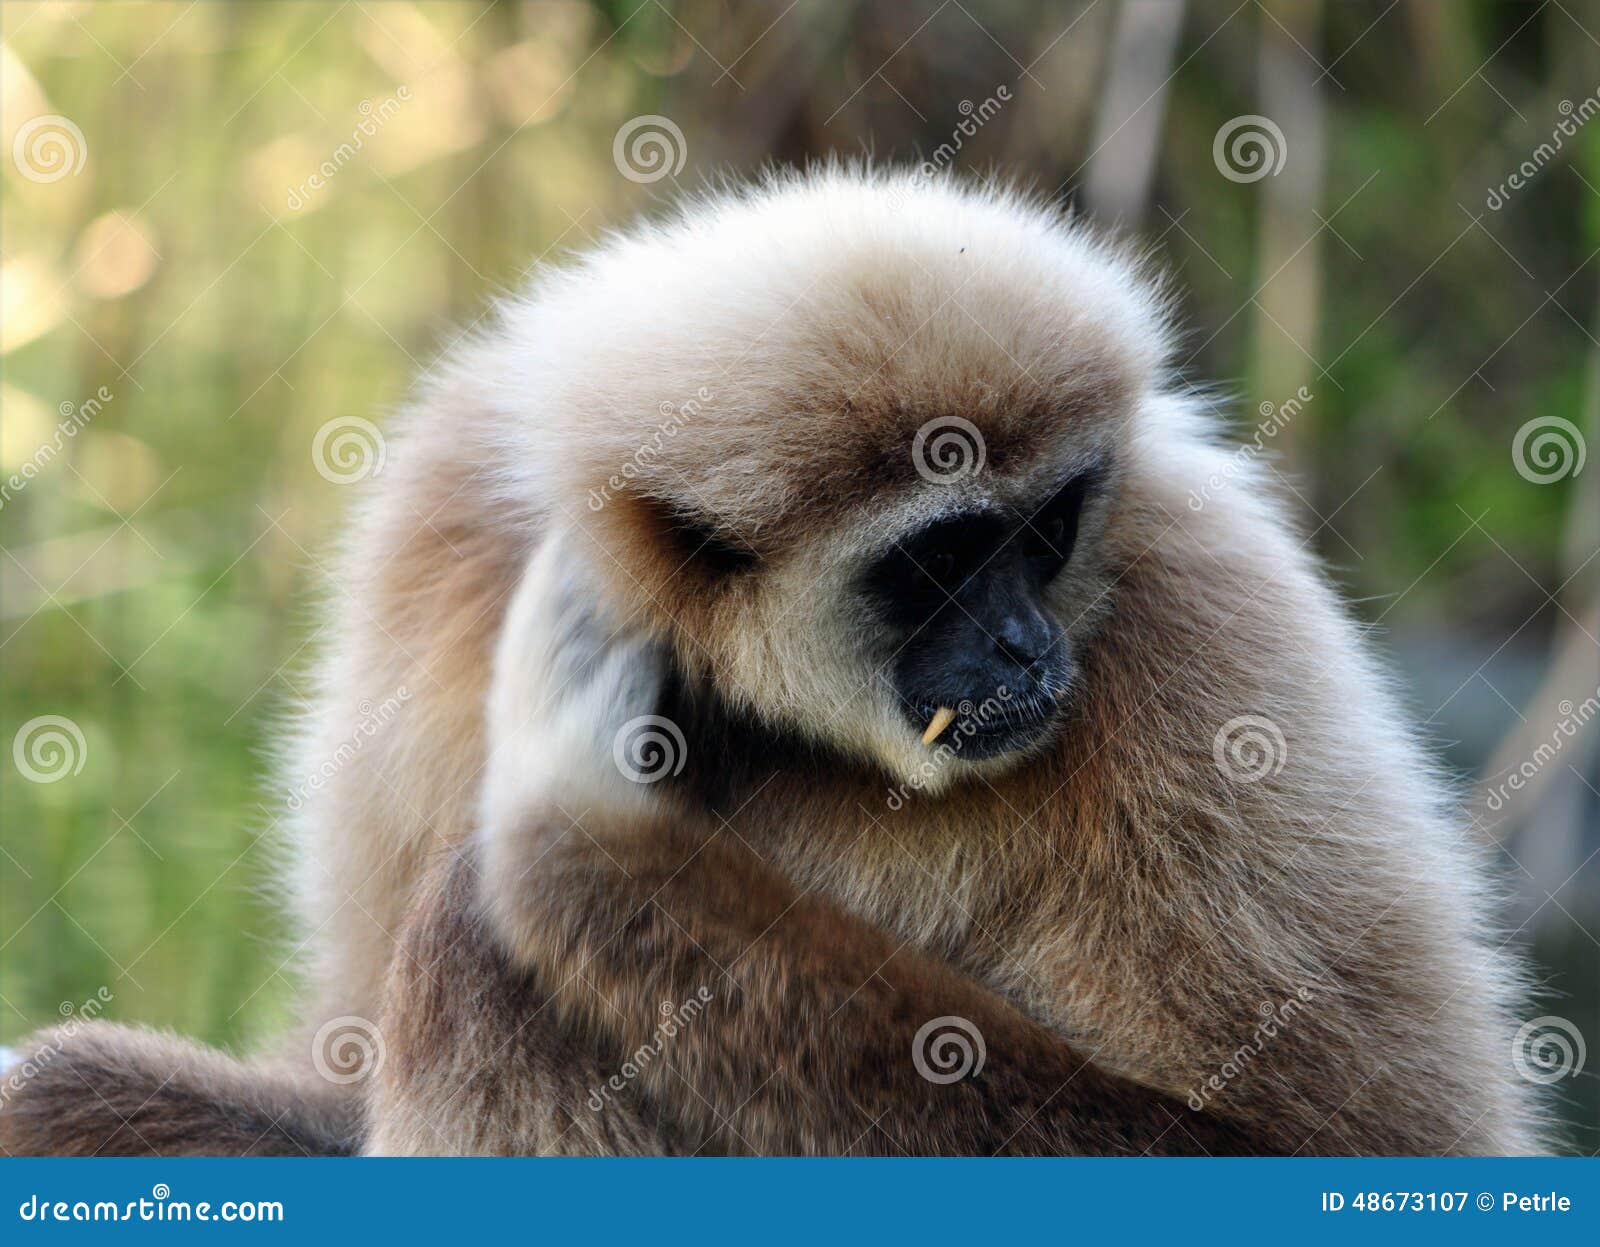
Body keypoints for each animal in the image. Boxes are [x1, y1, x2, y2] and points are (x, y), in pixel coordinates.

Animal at [0, 166, 1548, 1156]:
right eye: (938, 558)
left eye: (1048, 527)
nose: (1025, 639)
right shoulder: (435, 553)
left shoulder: (1199, 604)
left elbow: (1332, 1144)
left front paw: (582, 828)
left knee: (479, 940)